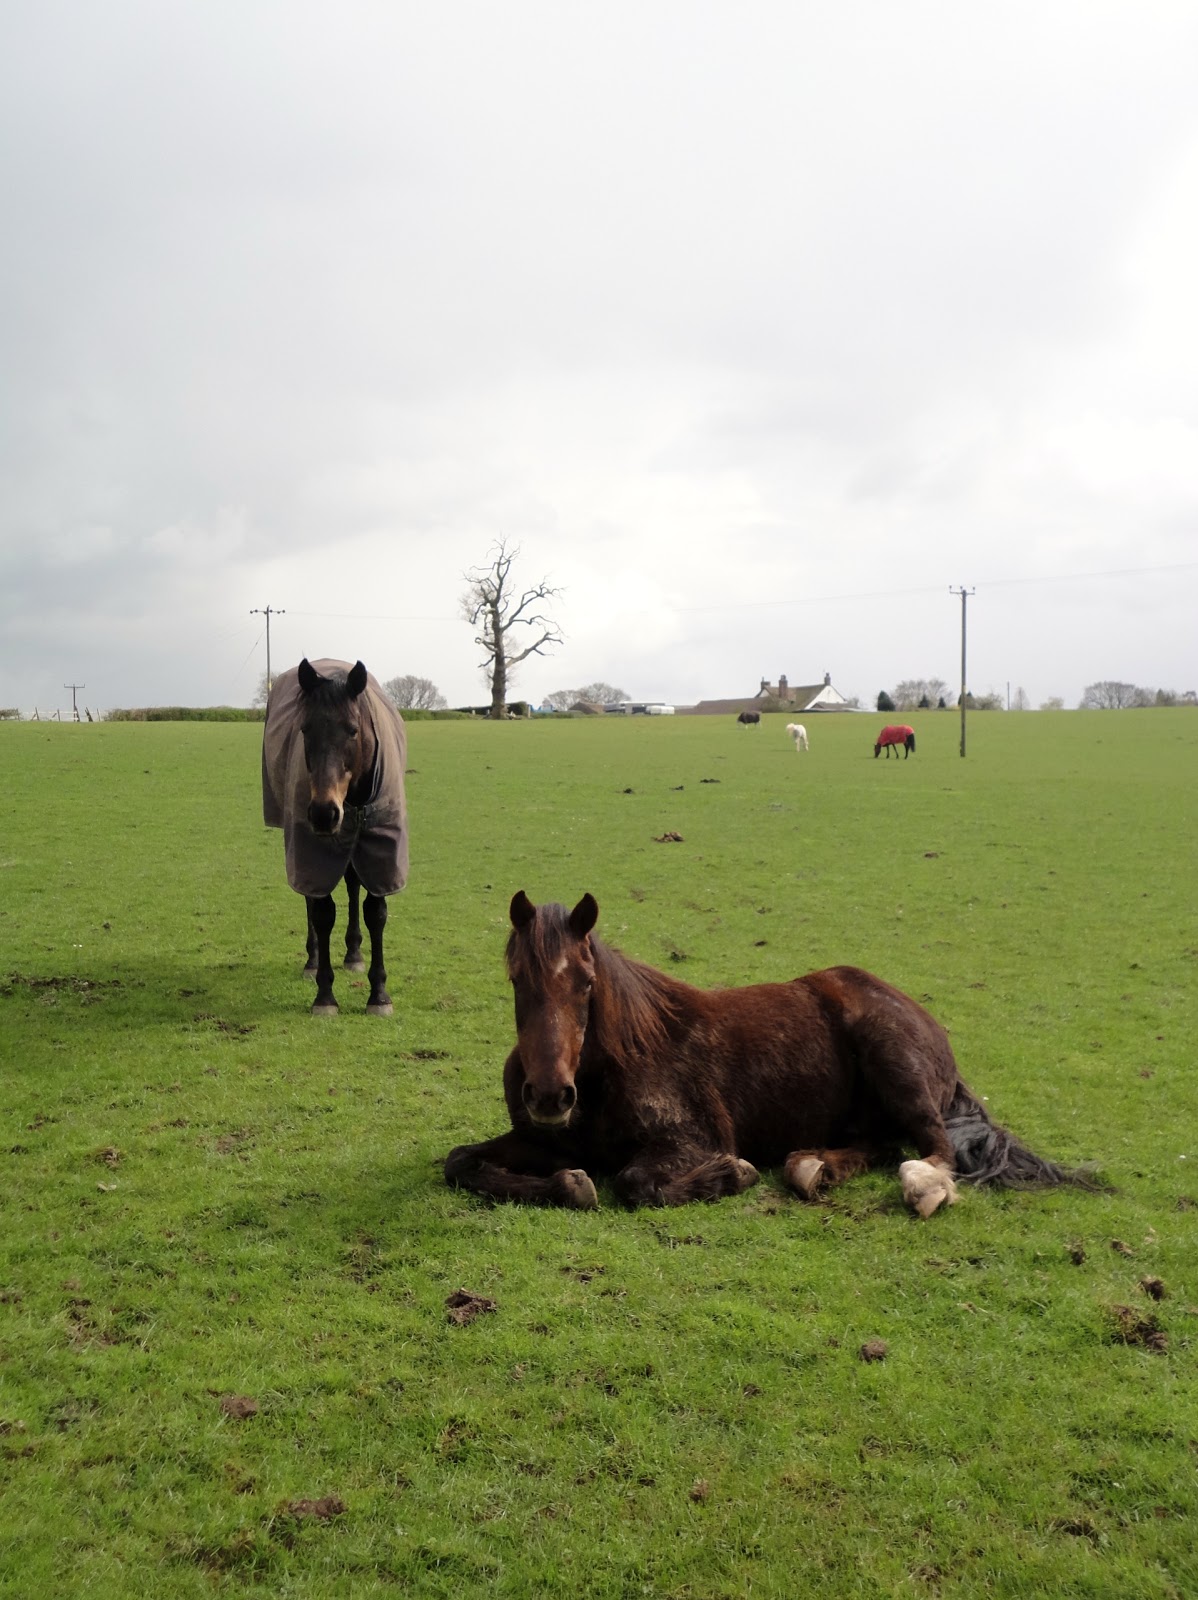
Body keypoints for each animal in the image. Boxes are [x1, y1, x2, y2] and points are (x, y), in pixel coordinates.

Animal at [262, 658, 408, 1015]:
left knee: (353, 885)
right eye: (305, 729)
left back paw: (354, 953)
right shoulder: (312, 851)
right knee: (310, 899)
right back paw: (313, 960)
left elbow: (376, 913)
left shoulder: (381, 850)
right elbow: (323, 913)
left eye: (352, 730)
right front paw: (324, 995)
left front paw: (379, 994)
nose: (323, 813)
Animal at [444, 892, 1087, 1215]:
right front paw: (566, 1185)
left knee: (934, 1149)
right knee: (878, 1146)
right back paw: (813, 1168)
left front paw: (733, 1175)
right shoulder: (543, 1141)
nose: (551, 1096)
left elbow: (634, 1182)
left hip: (894, 1060)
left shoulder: (691, 1140)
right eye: (517, 980)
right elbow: (461, 1163)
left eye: (584, 982)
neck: (609, 1069)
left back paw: (921, 1189)